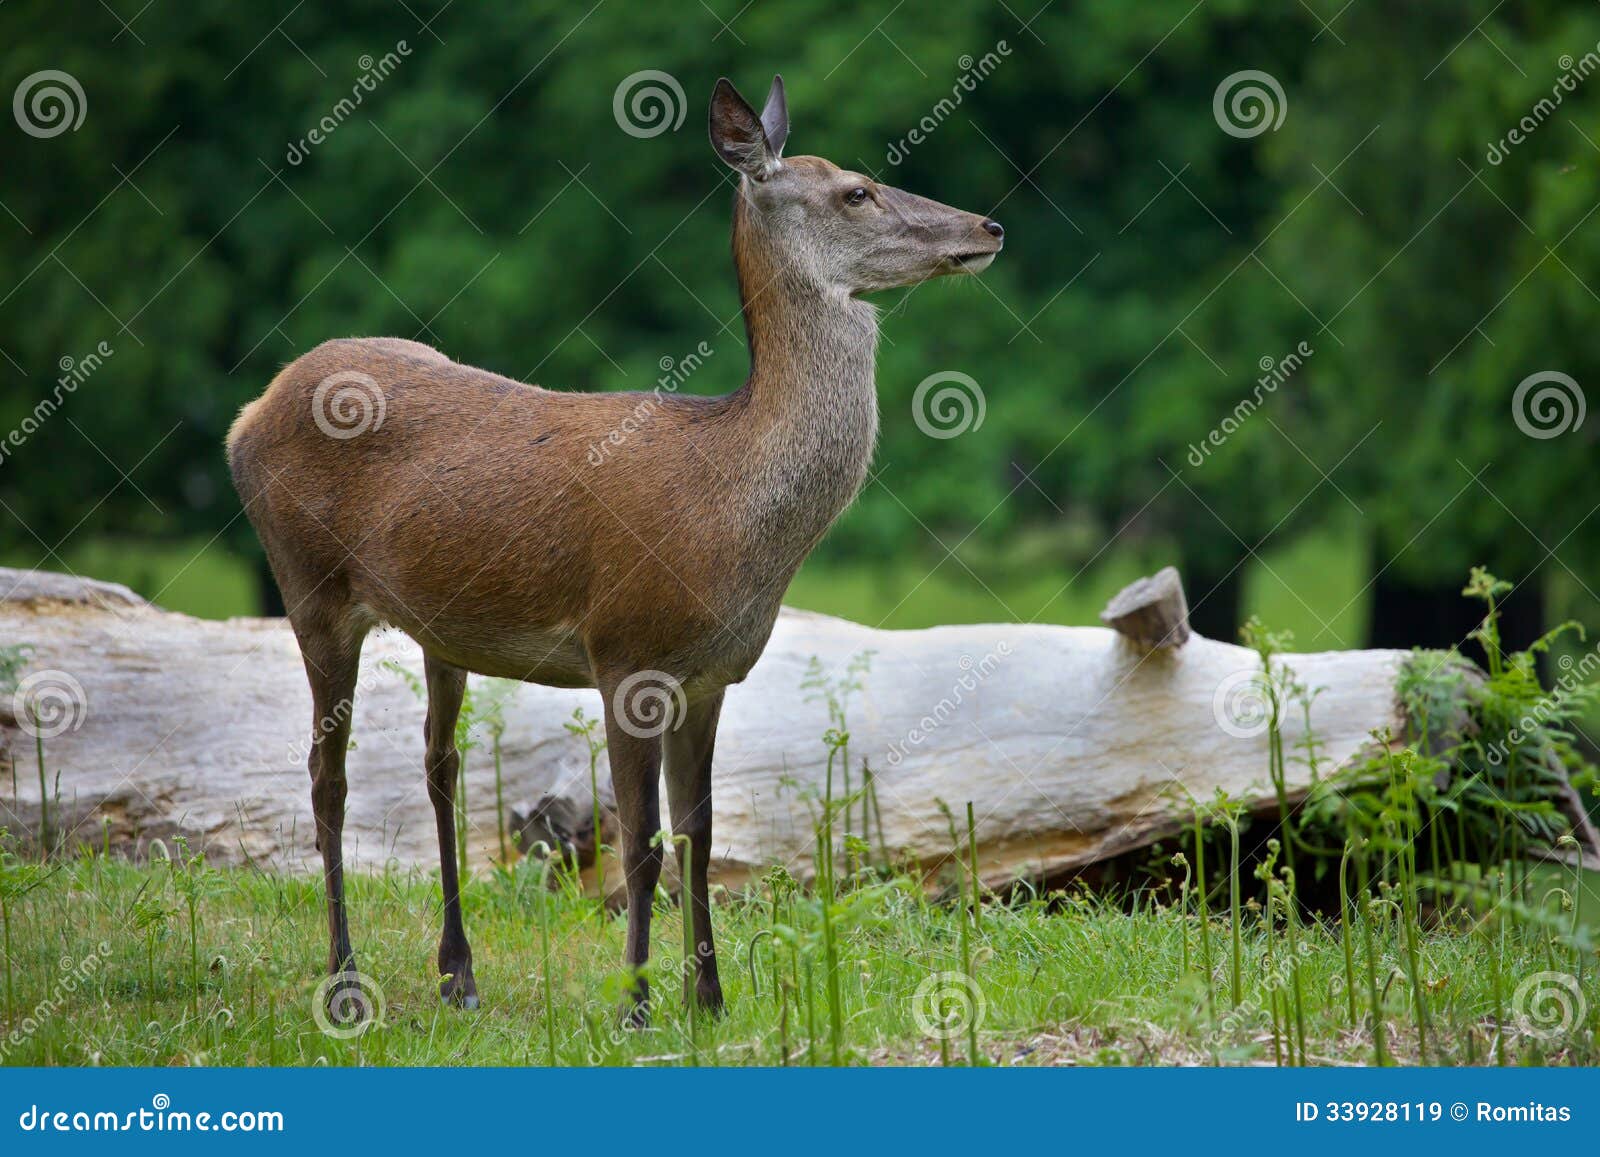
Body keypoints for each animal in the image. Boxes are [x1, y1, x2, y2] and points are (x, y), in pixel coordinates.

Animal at [226, 74, 1003, 1026]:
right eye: (856, 190)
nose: (987, 227)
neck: (730, 515)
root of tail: (248, 414)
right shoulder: (626, 650)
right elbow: (640, 841)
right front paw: (635, 1003)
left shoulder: (710, 675)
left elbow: (700, 834)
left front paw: (709, 997)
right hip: (309, 585)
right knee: (325, 777)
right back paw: (343, 979)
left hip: (440, 628)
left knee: (439, 764)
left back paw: (459, 974)